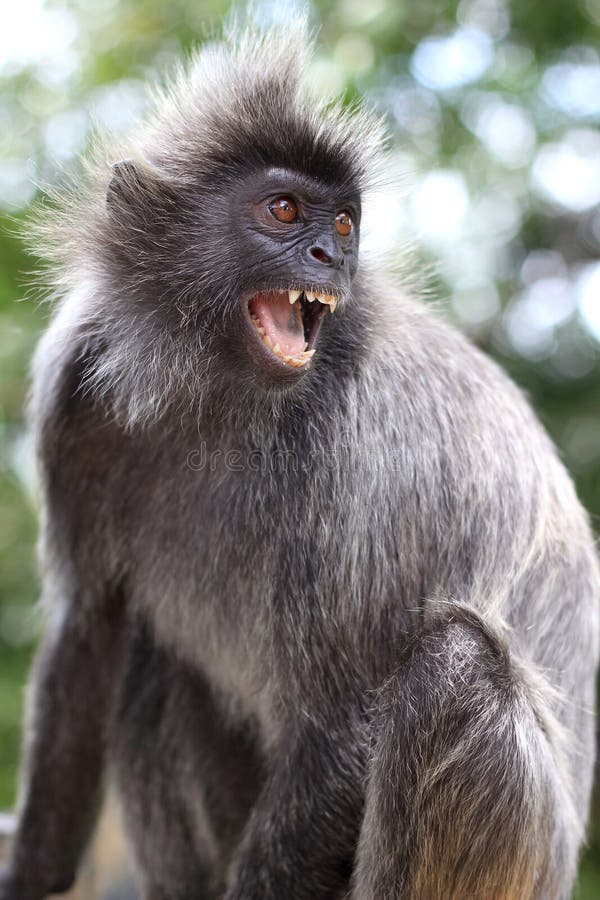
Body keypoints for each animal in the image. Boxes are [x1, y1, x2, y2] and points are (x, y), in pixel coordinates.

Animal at [0, 20, 598, 900]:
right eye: (283, 209)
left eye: (345, 225)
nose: (330, 257)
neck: (218, 390)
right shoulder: (79, 395)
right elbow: (90, 625)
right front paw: (32, 872)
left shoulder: (366, 439)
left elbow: (344, 726)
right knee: (149, 649)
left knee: (454, 665)